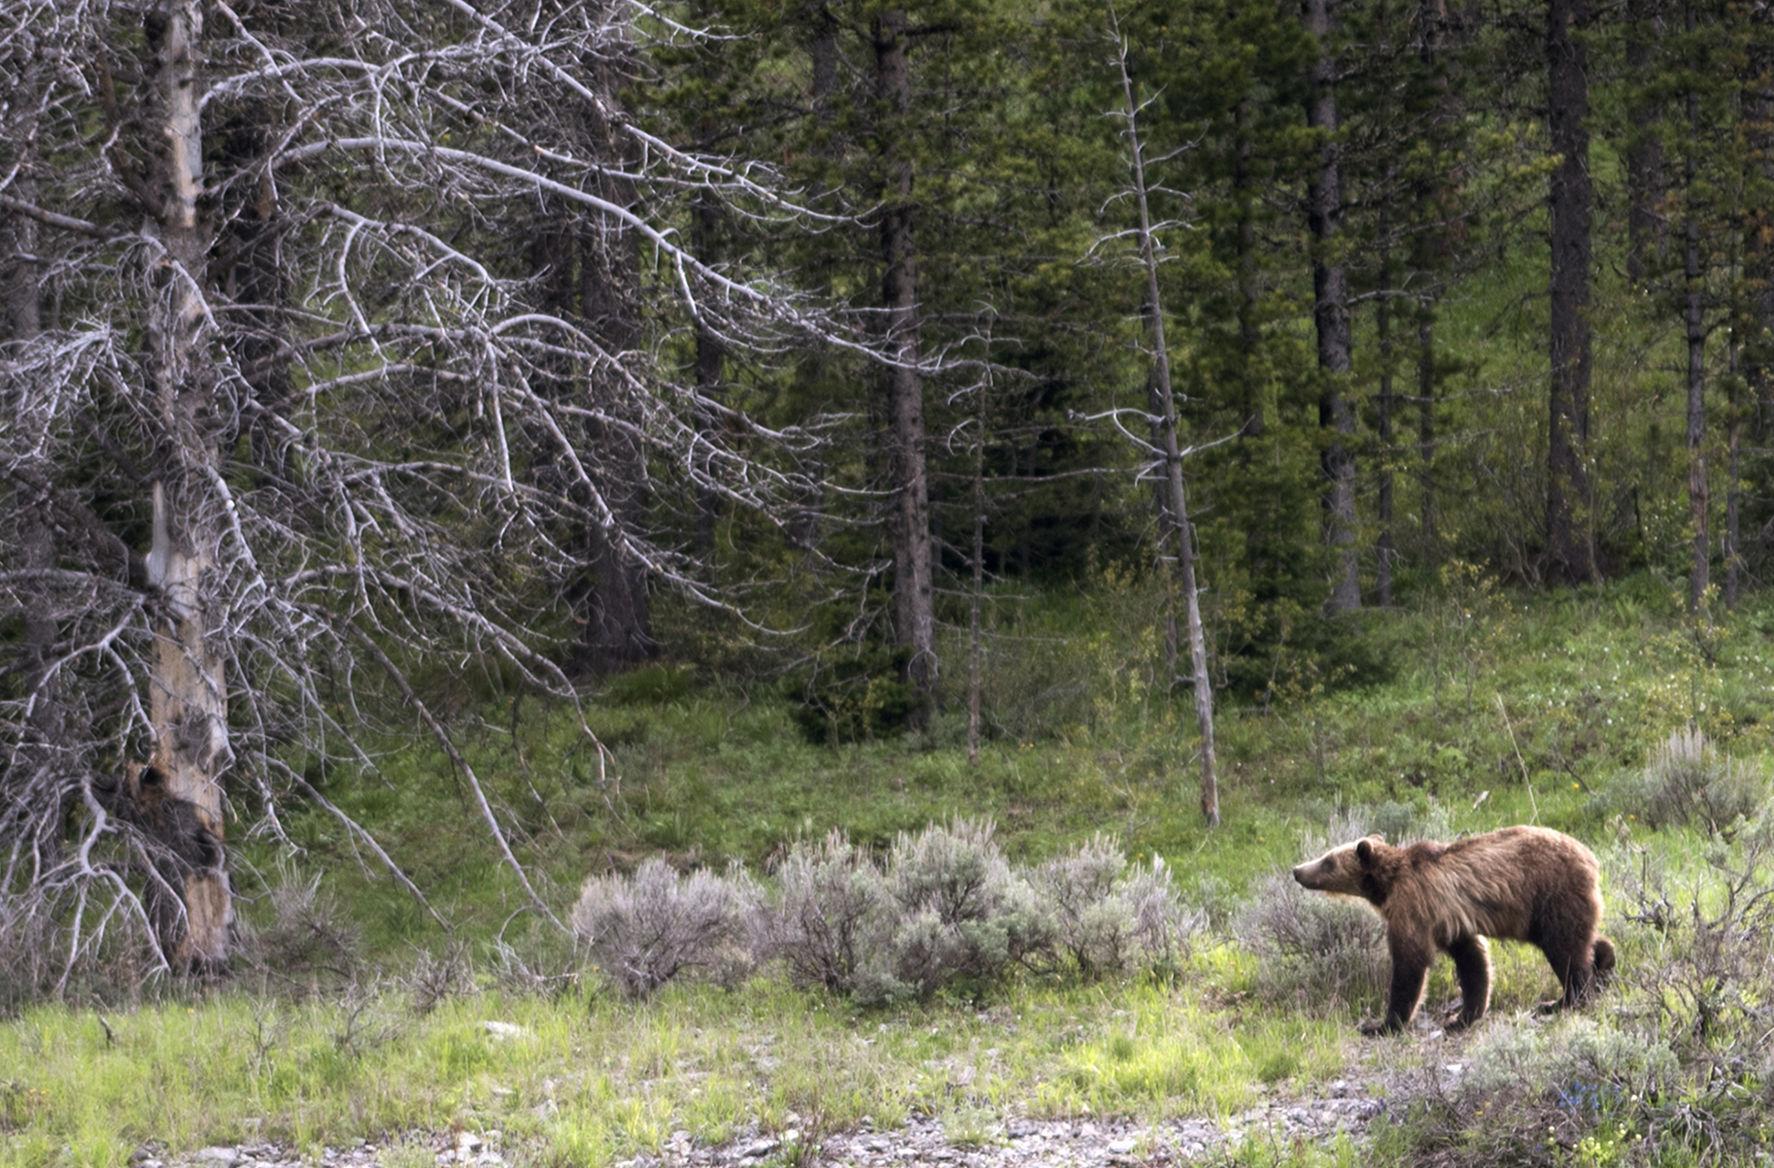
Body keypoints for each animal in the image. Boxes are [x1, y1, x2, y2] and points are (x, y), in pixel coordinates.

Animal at [1291, 825, 1615, 1035]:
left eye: (1328, 860)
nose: (1297, 870)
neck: (1388, 885)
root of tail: (1591, 857)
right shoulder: (1451, 922)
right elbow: (1473, 963)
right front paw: (1463, 1016)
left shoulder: (1414, 907)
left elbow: (1409, 963)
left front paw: (1382, 1024)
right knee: (1584, 938)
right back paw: (1605, 963)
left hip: (1550, 894)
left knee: (1564, 948)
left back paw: (1562, 1000)